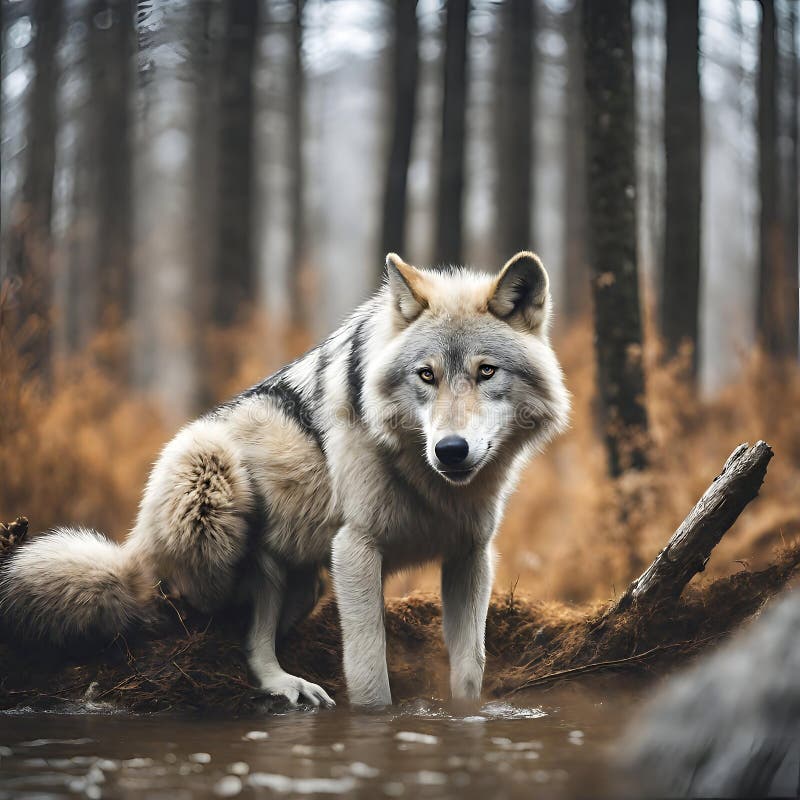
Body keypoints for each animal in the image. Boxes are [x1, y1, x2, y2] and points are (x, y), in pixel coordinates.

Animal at [1, 251, 569, 708]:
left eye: (486, 371)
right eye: (426, 375)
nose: (450, 450)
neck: (429, 481)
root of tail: (133, 551)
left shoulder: (470, 554)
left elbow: (470, 671)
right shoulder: (356, 550)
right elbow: (369, 676)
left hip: (306, 581)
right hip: (210, 468)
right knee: (221, 628)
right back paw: (279, 680)